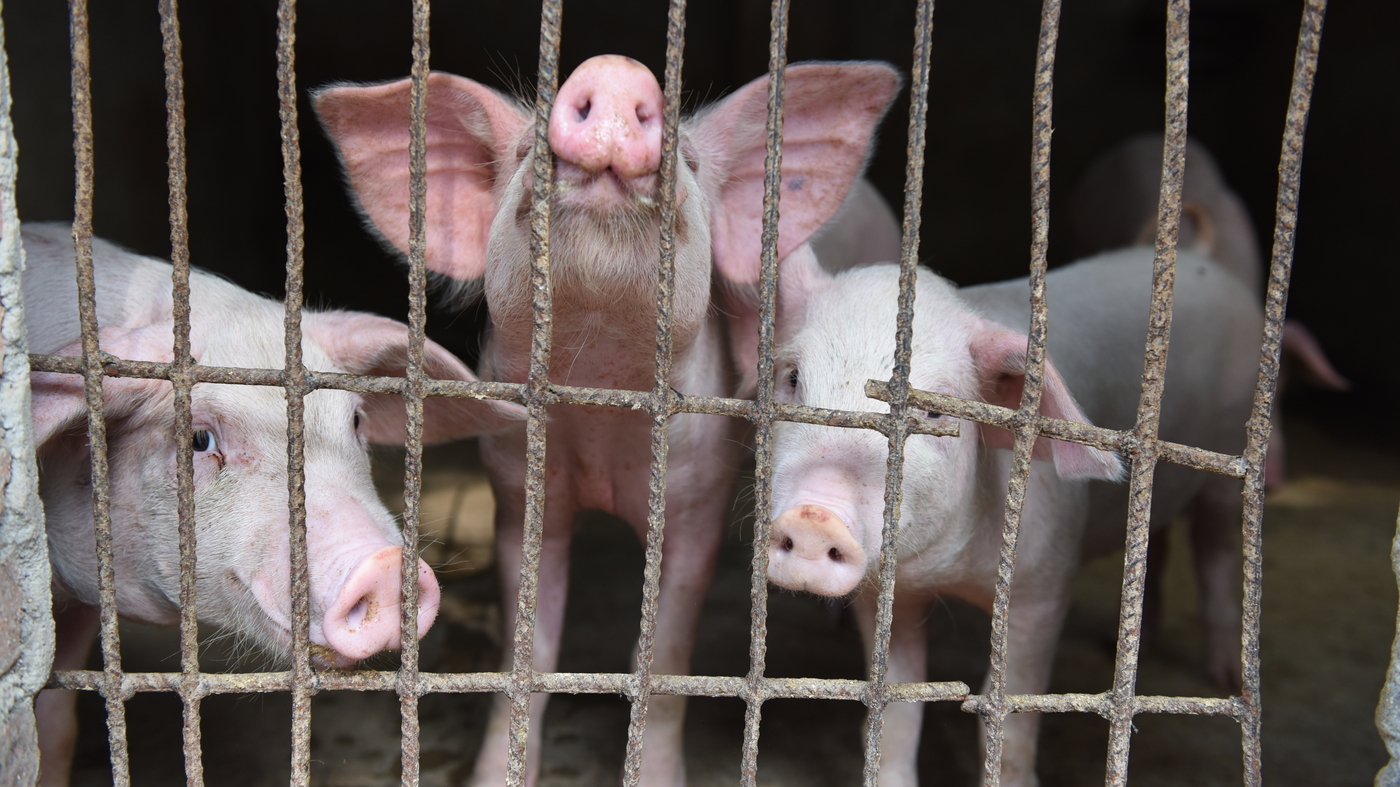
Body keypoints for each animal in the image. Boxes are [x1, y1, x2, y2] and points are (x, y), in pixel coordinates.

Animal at [314, 56, 901, 785]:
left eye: (693, 161)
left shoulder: (700, 497)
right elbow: (528, 647)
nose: (617, 71)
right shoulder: (517, 485)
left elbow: (667, 650)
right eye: (520, 150)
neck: (599, 394)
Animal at [762, 242, 1263, 786]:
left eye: (933, 412)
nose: (813, 517)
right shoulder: (886, 599)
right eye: (793, 378)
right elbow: (896, 713)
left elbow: (1010, 722)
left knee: (1215, 549)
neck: (950, 573)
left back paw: (1221, 675)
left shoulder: (1045, 586)